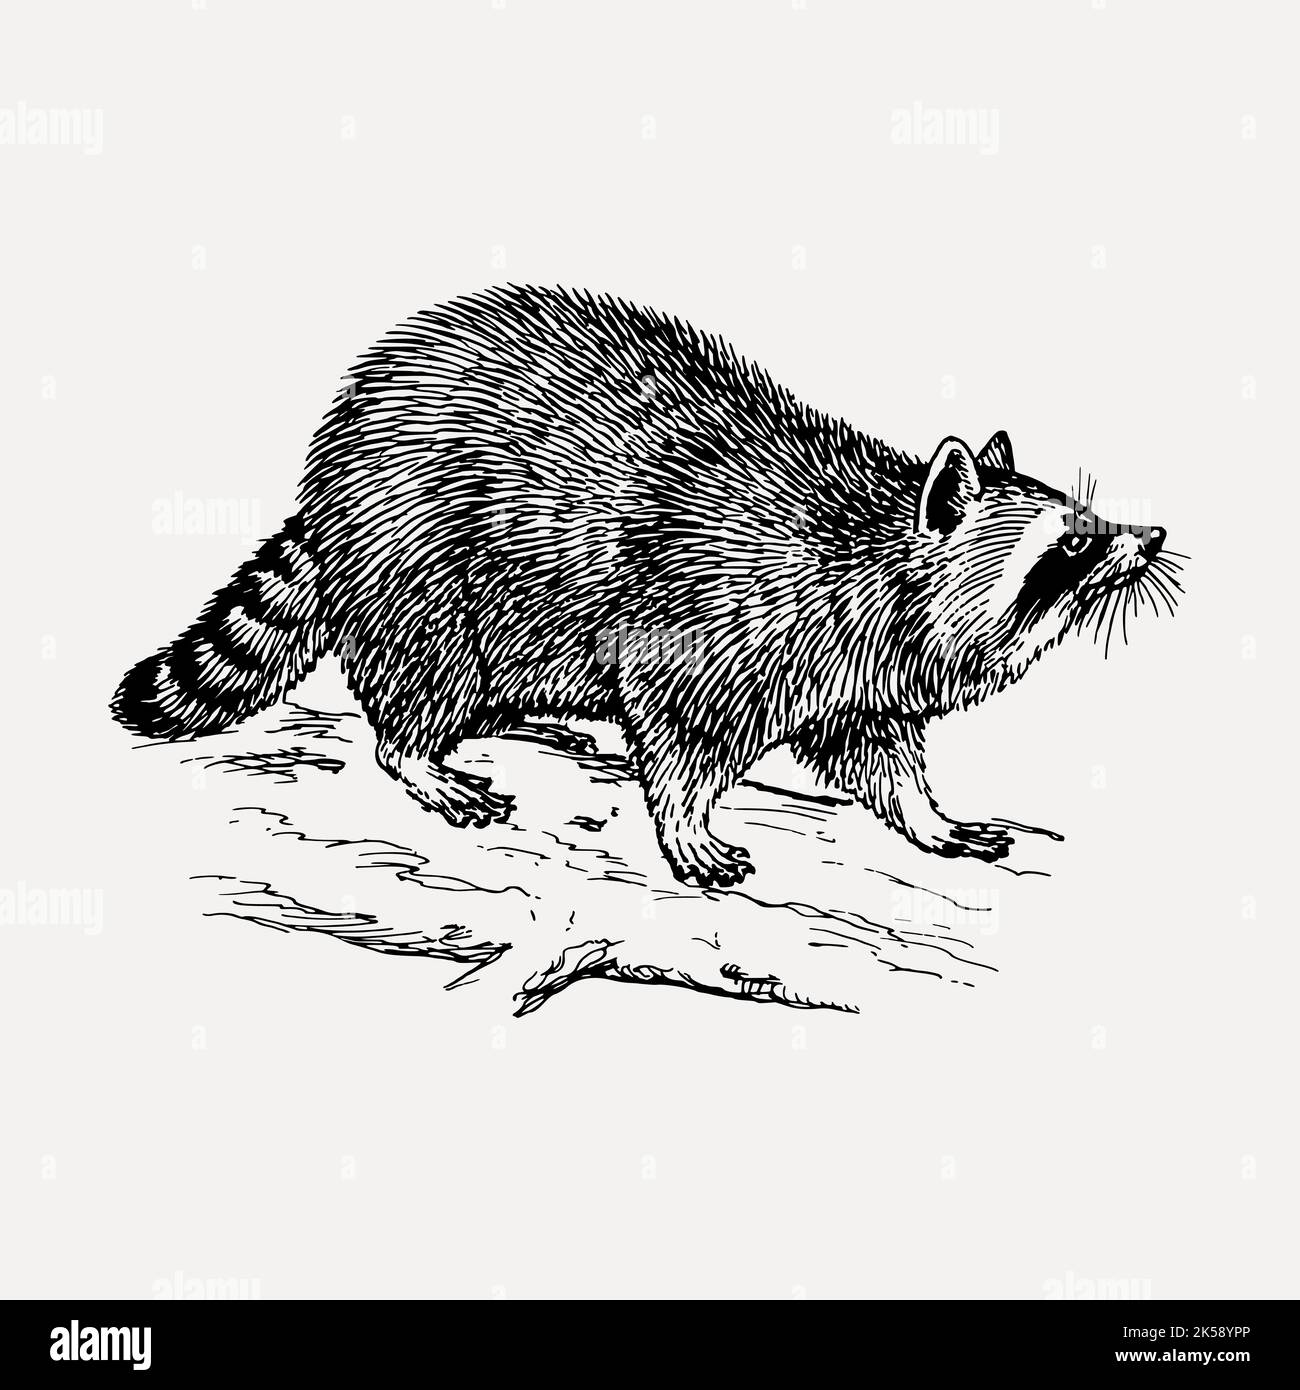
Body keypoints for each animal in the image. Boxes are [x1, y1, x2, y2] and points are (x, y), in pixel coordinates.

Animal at [112, 285, 1182, 887]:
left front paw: (929, 818)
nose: (1153, 535)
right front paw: (686, 826)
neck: (880, 548)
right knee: (421, 675)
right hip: (431, 562)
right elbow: (676, 739)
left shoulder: (856, 673)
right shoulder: (714, 613)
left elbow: (877, 754)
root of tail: (334, 460)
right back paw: (420, 753)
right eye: (1075, 543)